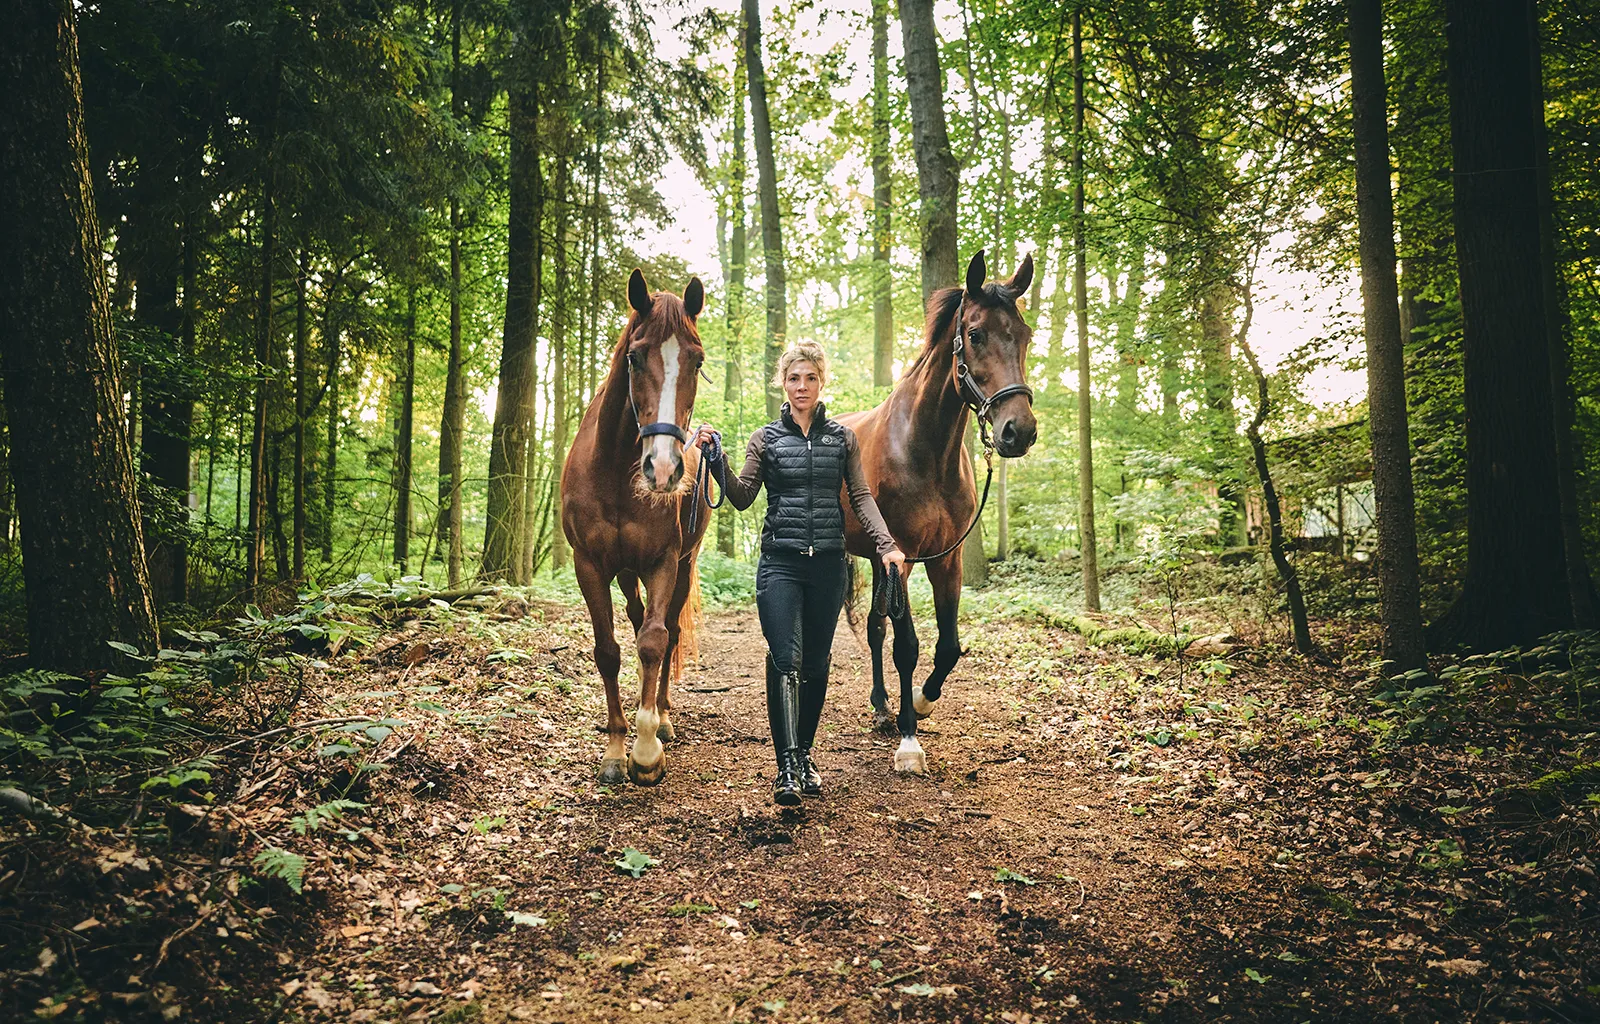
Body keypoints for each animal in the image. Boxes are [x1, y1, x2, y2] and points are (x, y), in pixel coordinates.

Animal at [562, 268, 710, 787]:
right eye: (634, 356)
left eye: (697, 360)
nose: (663, 469)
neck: (612, 472)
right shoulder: (588, 565)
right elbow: (608, 650)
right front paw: (614, 748)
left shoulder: (663, 562)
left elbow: (653, 641)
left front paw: (646, 749)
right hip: (626, 575)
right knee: (635, 613)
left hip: (683, 567)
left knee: (668, 631)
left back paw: (662, 715)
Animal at [840, 249, 1038, 774]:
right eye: (976, 333)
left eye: (1025, 334)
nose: (1019, 431)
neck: (923, 450)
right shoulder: (904, 559)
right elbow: (907, 646)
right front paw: (909, 740)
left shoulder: (945, 558)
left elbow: (947, 646)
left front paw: (920, 704)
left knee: (874, 629)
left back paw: (882, 706)